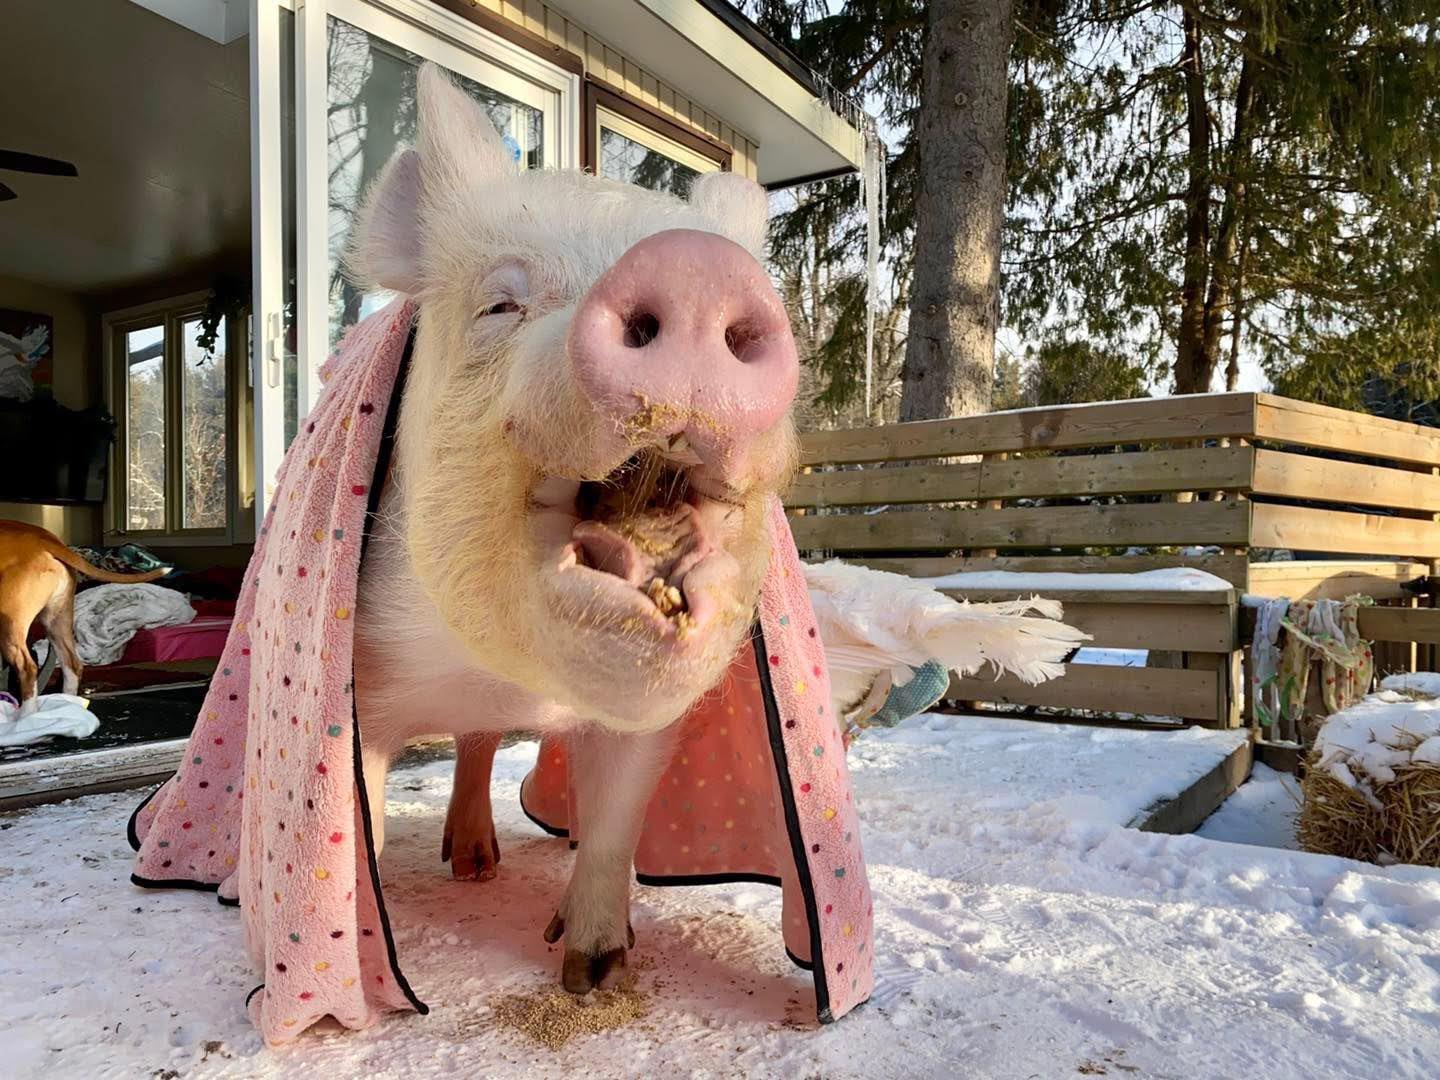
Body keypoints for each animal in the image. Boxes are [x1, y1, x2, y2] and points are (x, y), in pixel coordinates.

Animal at [349, 65, 800, 996]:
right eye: (500, 303)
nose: (694, 266)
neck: (508, 680)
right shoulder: (361, 678)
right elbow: (359, 813)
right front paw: (378, 974)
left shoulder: (647, 723)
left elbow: (615, 822)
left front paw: (591, 973)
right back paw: (467, 868)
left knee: (478, 747)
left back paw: (477, 863)